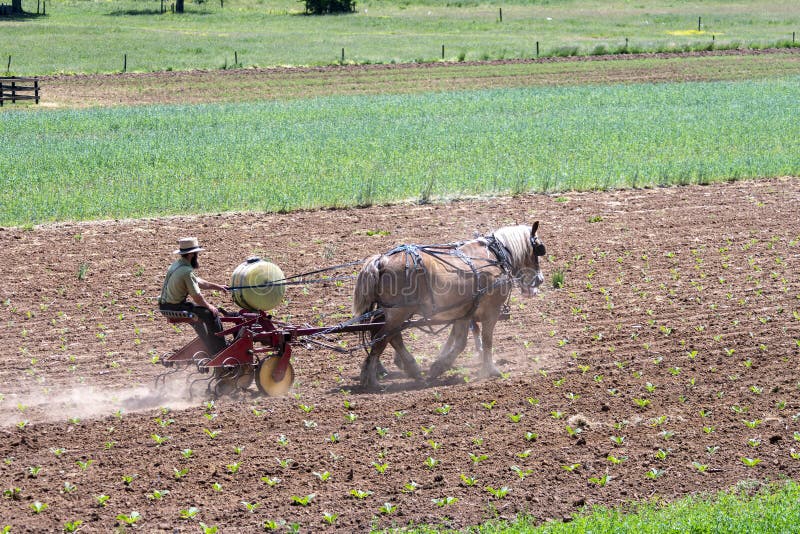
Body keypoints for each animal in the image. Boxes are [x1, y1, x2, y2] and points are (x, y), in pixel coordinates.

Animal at [352, 222, 546, 390]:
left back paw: (410, 370)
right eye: (537, 250)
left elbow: (460, 342)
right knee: (382, 339)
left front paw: (439, 366)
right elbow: (487, 340)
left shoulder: (464, 313)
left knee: (391, 337)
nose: (540, 280)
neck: (496, 257)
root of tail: (382, 260)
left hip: (393, 313)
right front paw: (491, 370)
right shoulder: (492, 311)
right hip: (399, 313)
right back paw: (372, 380)